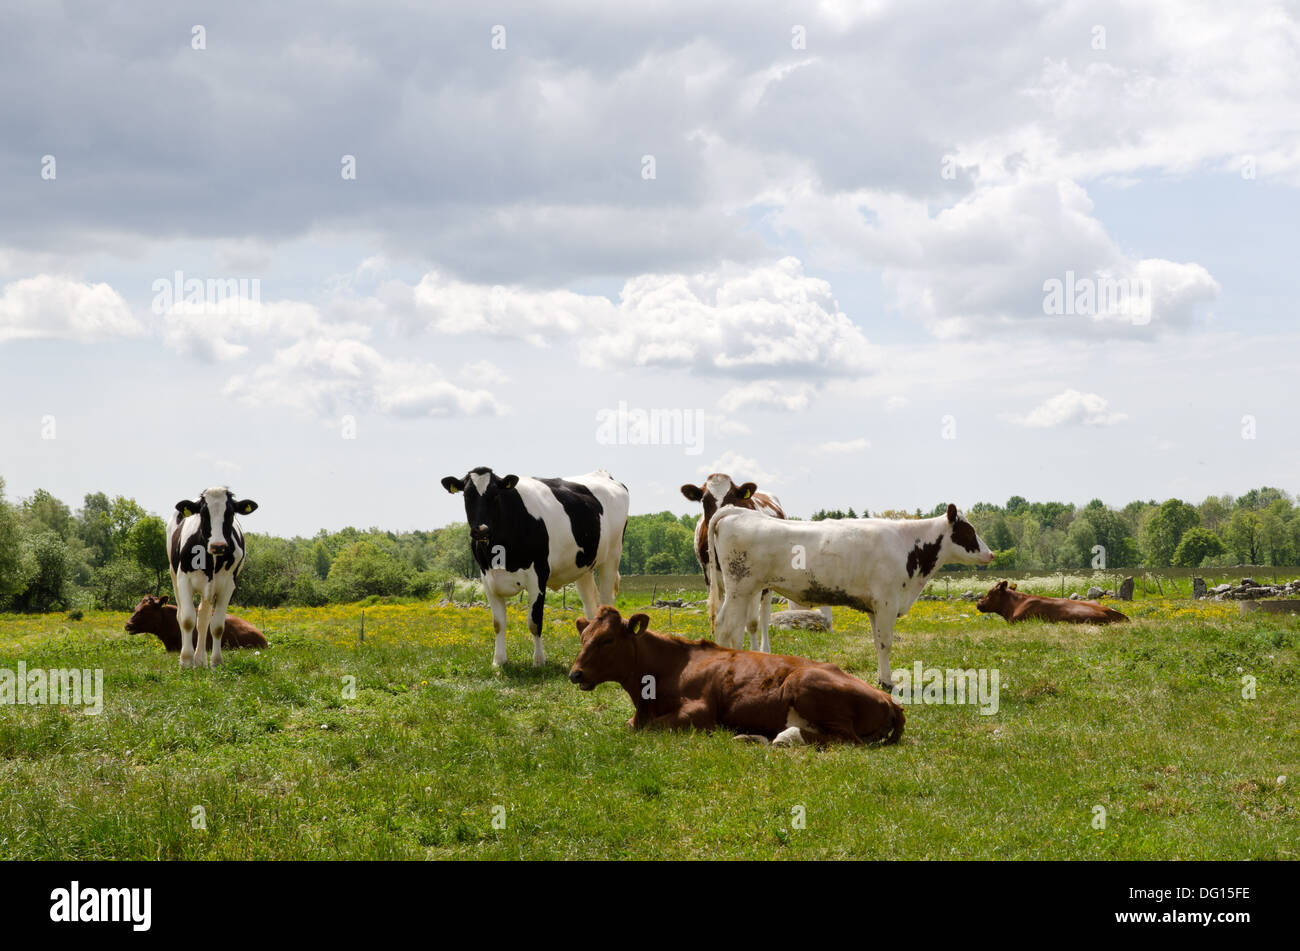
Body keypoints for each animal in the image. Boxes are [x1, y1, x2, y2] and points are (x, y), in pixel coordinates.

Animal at [166, 487, 258, 668]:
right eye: (203, 513)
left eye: (230, 512)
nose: (218, 545)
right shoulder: (183, 580)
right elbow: (187, 619)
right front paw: (186, 661)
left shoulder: (228, 585)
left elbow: (217, 625)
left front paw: (216, 662)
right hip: (174, 577)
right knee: (181, 615)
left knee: (203, 618)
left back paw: (201, 660)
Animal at [441, 467, 629, 667]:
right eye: (467, 495)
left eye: (495, 494)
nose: (481, 530)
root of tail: (603, 473)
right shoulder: (488, 580)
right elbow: (498, 623)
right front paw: (498, 661)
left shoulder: (537, 577)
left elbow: (534, 621)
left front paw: (539, 660)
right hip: (583, 567)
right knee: (590, 606)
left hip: (611, 558)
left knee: (607, 601)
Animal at [568, 606, 903, 746]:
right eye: (582, 637)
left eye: (607, 640)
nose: (575, 674)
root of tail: (889, 698)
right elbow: (632, 726)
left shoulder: (701, 711)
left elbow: (653, 728)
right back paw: (750, 736)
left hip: (803, 683)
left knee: (845, 739)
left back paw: (784, 738)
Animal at [680, 473, 831, 651]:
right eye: (704, 500)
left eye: (733, 497)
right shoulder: (713, 581)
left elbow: (751, 623)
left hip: (766, 585)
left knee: (763, 617)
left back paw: (765, 649)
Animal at [709, 503, 993, 688]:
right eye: (968, 530)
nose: (990, 554)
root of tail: (736, 510)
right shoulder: (887, 602)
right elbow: (886, 643)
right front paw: (888, 683)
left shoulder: (873, 606)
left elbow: (877, 642)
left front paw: (882, 678)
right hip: (739, 587)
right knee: (724, 626)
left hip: (747, 590)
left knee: (736, 629)